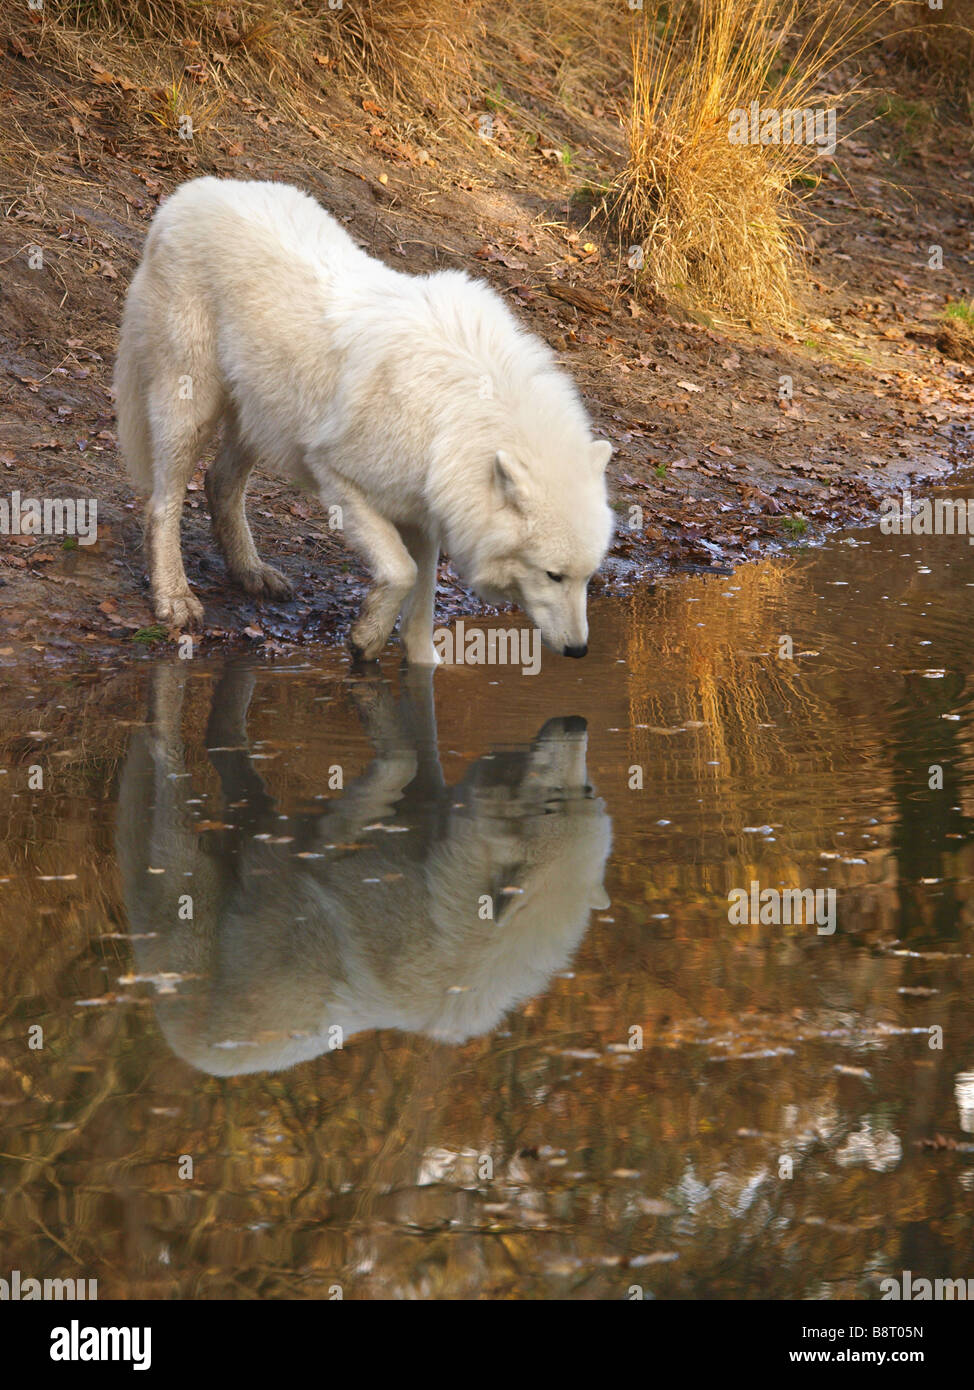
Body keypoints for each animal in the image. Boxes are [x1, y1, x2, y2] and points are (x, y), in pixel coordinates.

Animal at [114, 177, 614, 661]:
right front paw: (366, 637)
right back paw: (174, 598)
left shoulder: (426, 510)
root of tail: (187, 194)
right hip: (192, 407)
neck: (456, 416)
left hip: (262, 419)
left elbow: (421, 618)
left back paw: (252, 572)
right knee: (162, 504)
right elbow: (400, 571)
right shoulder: (337, 478)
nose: (578, 650)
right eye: (552, 575)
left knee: (219, 484)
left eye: (588, 577)